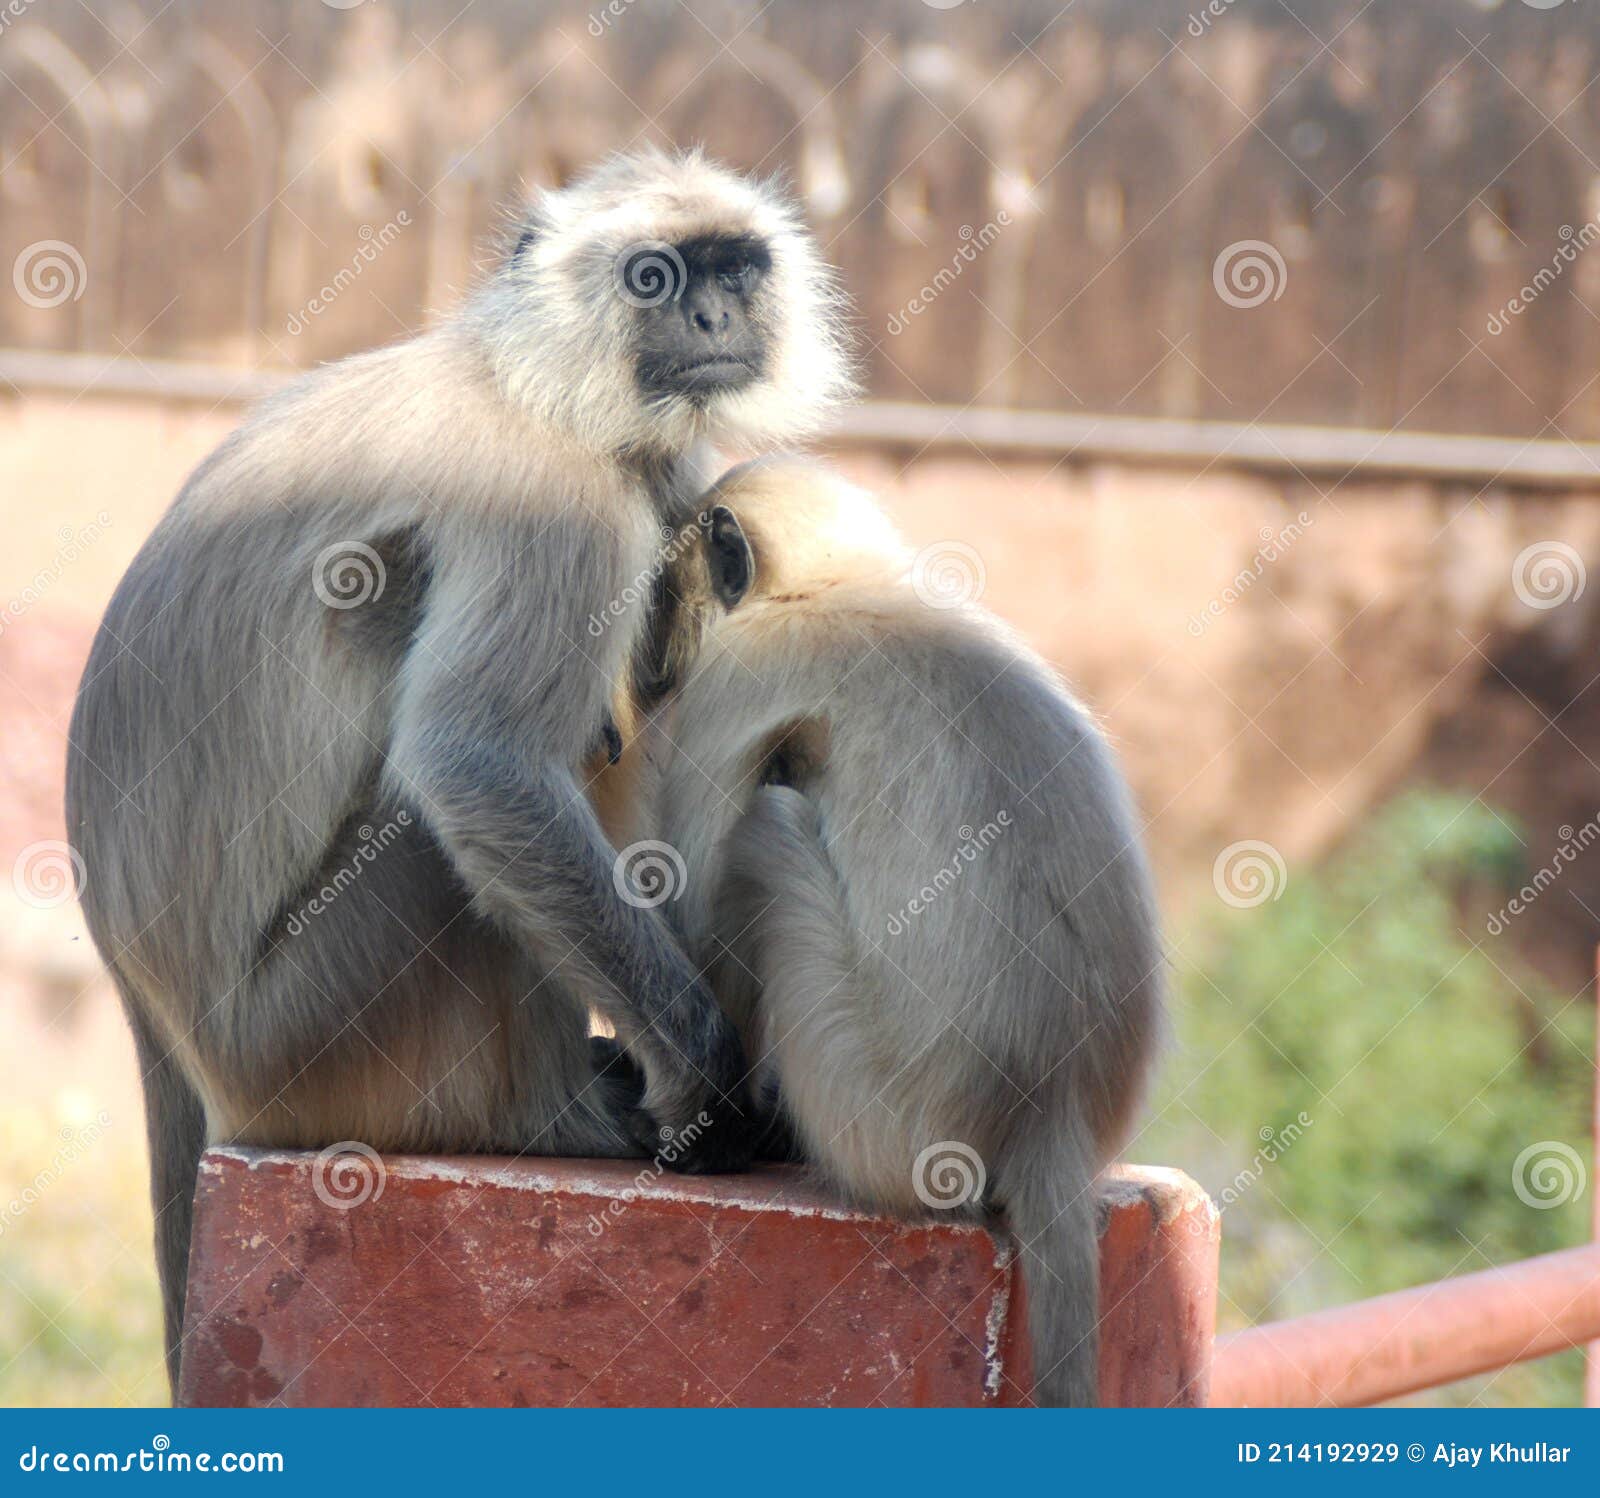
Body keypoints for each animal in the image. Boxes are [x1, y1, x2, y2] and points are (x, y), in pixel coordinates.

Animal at [63, 149, 853, 1395]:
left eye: (734, 270)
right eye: (655, 277)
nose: (715, 319)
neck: (528, 380)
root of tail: (150, 1006)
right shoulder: (556, 500)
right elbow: (478, 763)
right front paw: (708, 1092)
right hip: (311, 1039)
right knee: (441, 807)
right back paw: (565, 1119)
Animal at [600, 459, 1164, 1406]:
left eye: (669, 588)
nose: (650, 650)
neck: (835, 589)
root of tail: (1049, 1111)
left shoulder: (739, 678)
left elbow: (695, 928)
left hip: (875, 1113)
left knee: (770, 829)